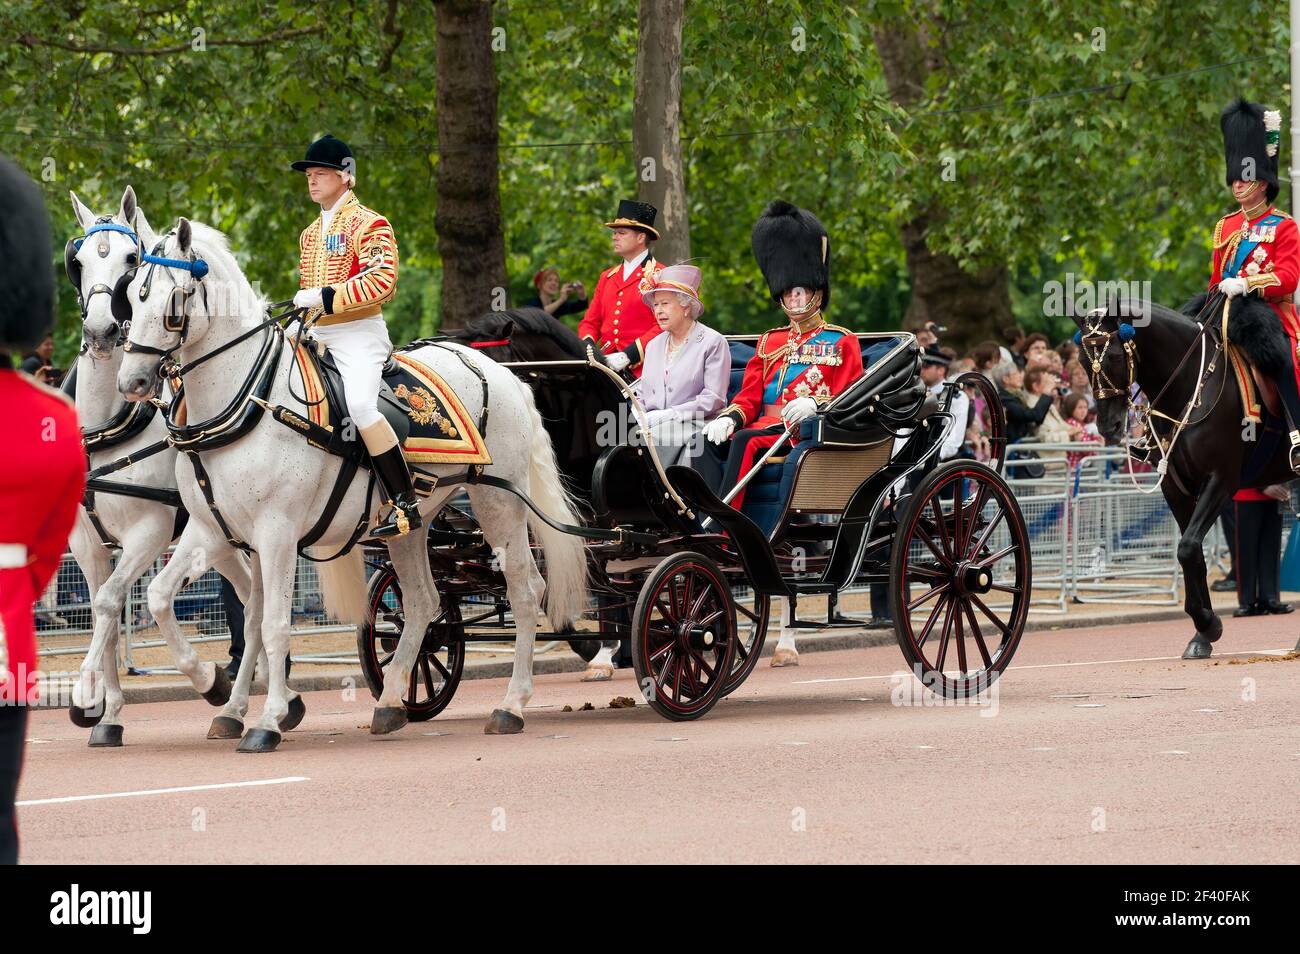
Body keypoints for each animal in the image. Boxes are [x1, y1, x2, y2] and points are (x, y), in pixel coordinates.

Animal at [62, 187, 262, 747]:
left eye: (131, 260)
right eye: (78, 262)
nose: (102, 330)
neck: (109, 427)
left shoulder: (150, 532)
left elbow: (111, 603)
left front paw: (88, 695)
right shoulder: (85, 543)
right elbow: (103, 613)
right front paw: (107, 714)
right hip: (221, 537)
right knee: (250, 598)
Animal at [115, 218, 587, 751]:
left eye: (174, 302)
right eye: (130, 296)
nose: (132, 383)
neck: (248, 400)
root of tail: (499, 372)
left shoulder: (277, 534)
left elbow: (274, 625)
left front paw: (266, 719)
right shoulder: (213, 530)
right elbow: (178, 603)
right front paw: (219, 693)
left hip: (498, 503)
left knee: (526, 590)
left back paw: (511, 705)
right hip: (412, 525)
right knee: (423, 601)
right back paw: (390, 703)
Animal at [1073, 293, 1300, 659]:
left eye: (1114, 356)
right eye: (1082, 359)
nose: (1108, 426)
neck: (1191, 384)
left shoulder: (1221, 481)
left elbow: (1190, 547)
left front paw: (1209, 623)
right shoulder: (1175, 486)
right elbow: (1188, 553)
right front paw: (1202, 632)